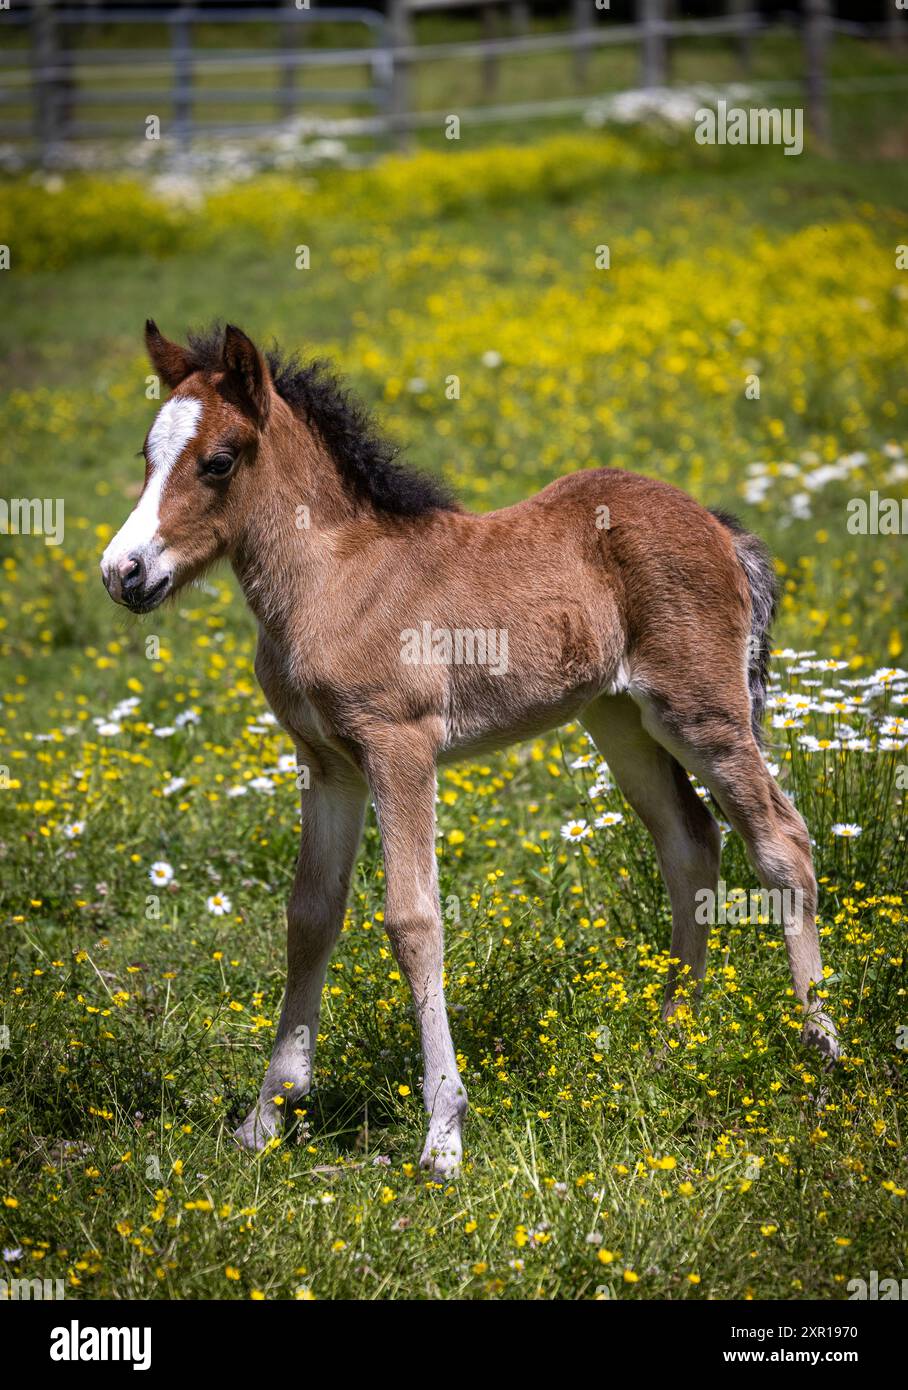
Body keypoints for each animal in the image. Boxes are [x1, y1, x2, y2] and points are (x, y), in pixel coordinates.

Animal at [100, 320, 839, 1176]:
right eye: (146, 455)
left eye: (219, 461)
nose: (123, 572)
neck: (336, 579)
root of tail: (718, 525)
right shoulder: (328, 766)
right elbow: (310, 916)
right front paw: (266, 1118)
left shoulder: (399, 748)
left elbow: (413, 920)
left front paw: (443, 1134)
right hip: (618, 717)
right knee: (690, 843)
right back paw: (666, 1046)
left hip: (702, 712)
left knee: (781, 838)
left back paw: (822, 1050)